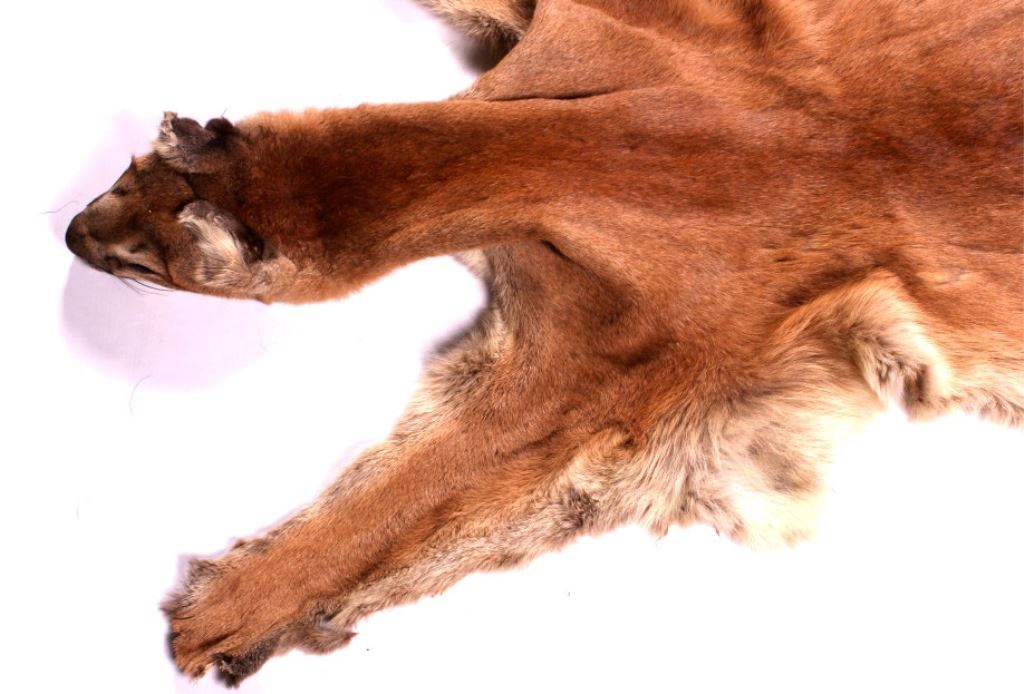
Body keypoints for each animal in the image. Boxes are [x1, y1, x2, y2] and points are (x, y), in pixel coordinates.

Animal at [65, 0, 1022, 685]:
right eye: (122, 174)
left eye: (141, 261)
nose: (72, 233)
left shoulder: (583, 391)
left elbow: (394, 503)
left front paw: (223, 615)